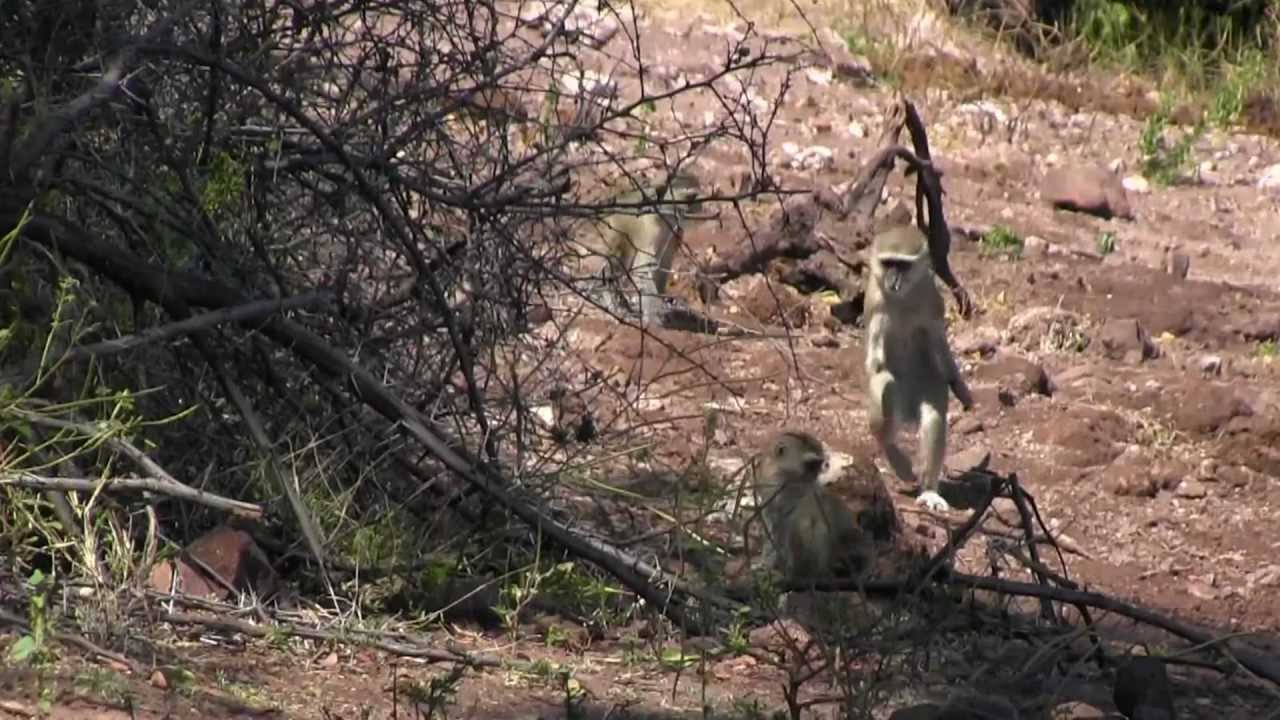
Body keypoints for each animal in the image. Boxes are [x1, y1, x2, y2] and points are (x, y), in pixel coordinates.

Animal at [863, 225, 974, 513]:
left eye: (902, 265)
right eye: (888, 263)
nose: (893, 280)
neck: (903, 298)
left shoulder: (932, 299)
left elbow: (937, 341)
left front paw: (960, 387)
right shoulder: (876, 302)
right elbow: (876, 366)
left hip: (926, 380)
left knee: (933, 416)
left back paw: (929, 490)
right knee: (885, 405)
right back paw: (893, 453)